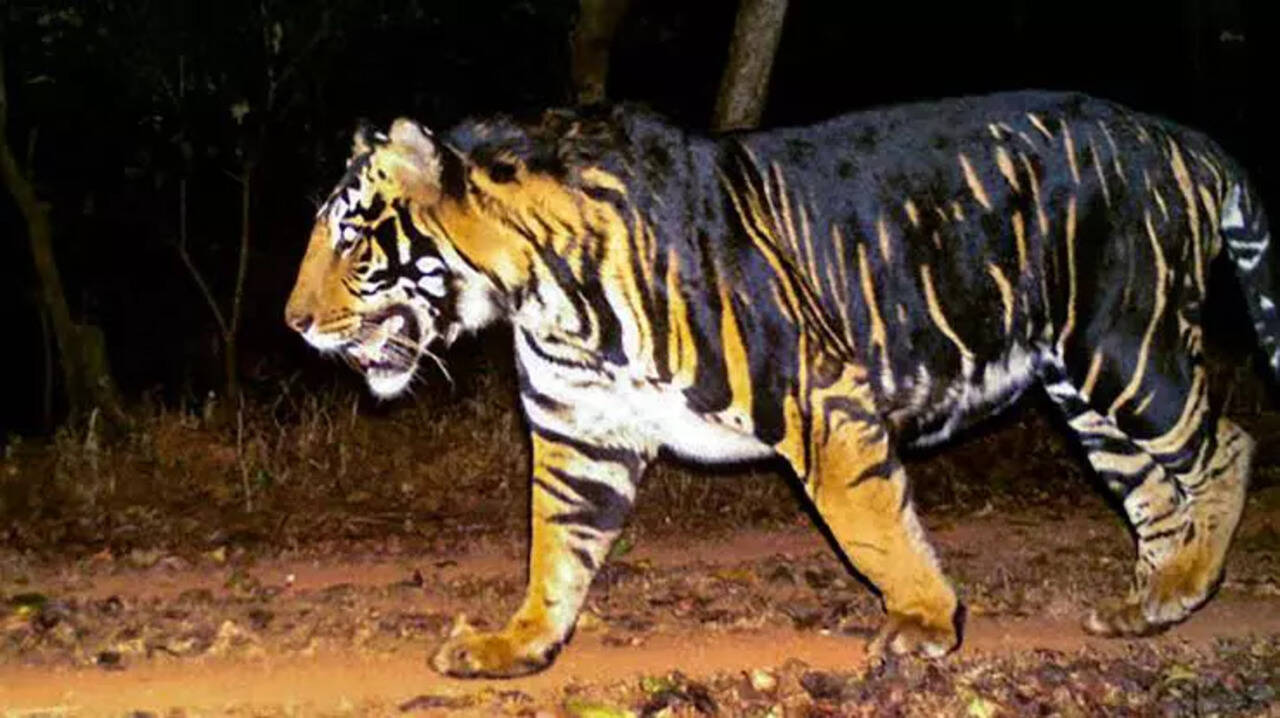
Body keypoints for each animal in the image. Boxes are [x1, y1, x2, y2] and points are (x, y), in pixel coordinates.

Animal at [284, 90, 1273, 678]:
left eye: (351, 239)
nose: (293, 323)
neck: (543, 297)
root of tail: (1177, 133)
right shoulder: (580, 435)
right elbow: (555, 550)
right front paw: (515, 644)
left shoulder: (820, 401)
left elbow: (875, 529)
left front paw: (924, 623)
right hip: (1085, 393)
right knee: (1156, 493)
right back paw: (1154, 605)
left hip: (1126, 347)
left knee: (1227, 445)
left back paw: (1187, 581)